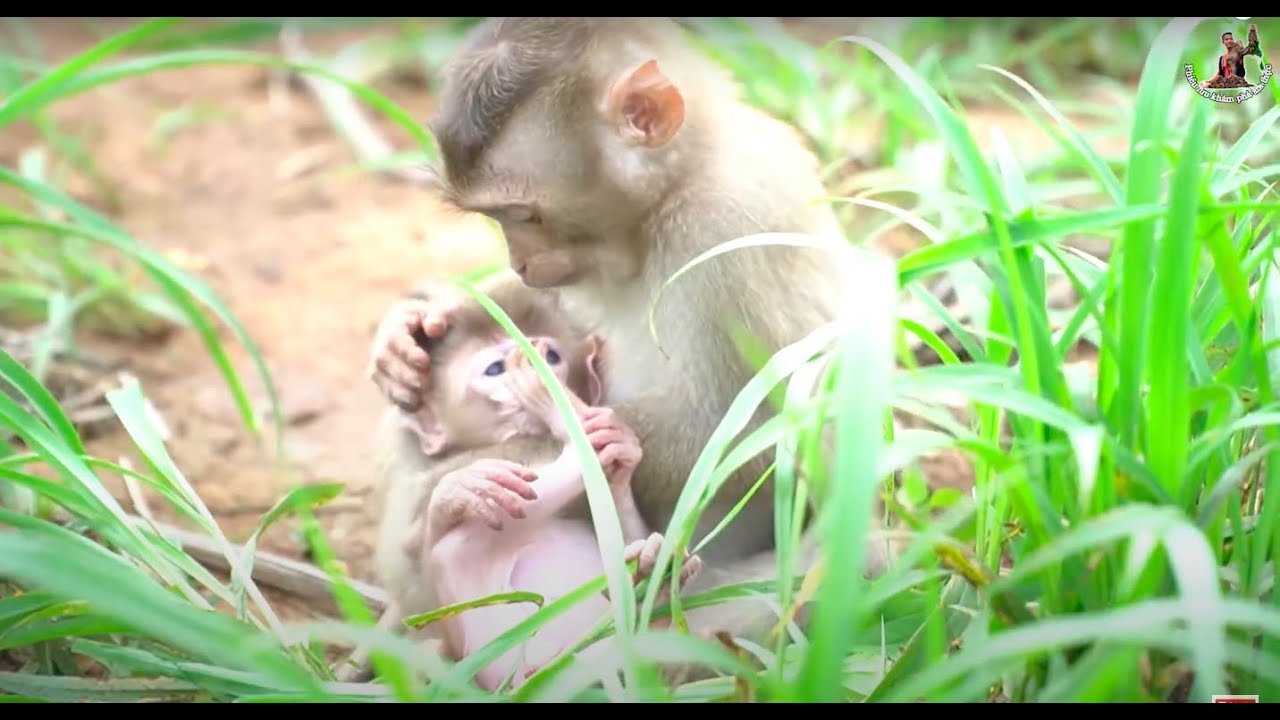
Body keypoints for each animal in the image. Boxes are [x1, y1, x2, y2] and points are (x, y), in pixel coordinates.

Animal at [366, 17, 878, 671]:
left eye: (521, 214)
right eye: (495, 219)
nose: (520, 259)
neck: (671, 196)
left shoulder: (734, 226)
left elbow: (765, 433)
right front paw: (411, 331)